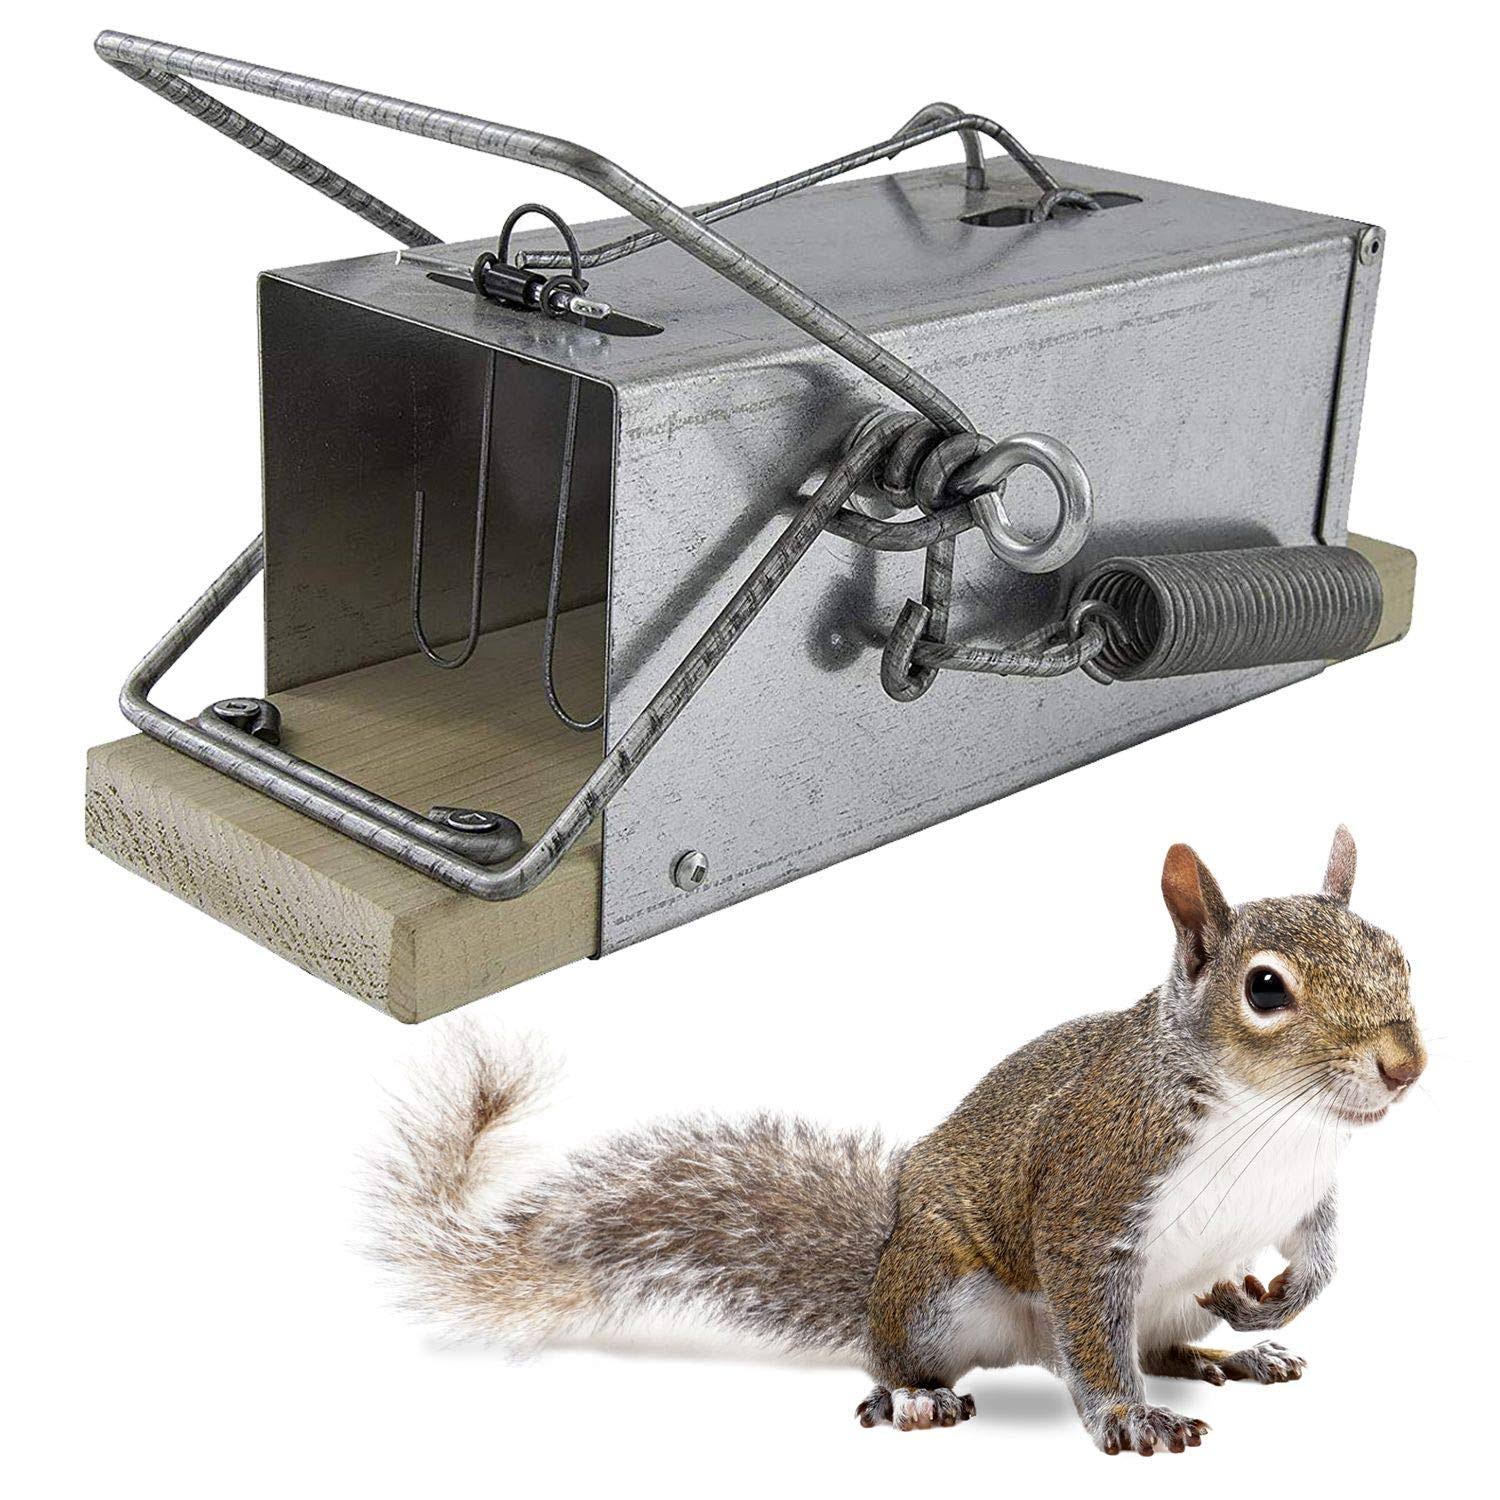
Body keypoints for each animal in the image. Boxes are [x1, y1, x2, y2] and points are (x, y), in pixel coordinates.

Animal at [367, 827, 1424, 1456]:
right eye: (1264, 988)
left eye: (1398, 953)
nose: (1405, 1066)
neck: (1272, 1122)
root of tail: (882, 1269)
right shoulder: (1092, 1197)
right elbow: (1091, 1324)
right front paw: (1126, 1418)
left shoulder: (1308, 1191)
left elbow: (1322, 1257)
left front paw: (1272, 1303)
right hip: (938, 1293)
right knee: (923, 1355)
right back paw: (918, 1397)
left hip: (1151, 1303)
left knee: (1159, 1341)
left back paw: (1229, 1357)